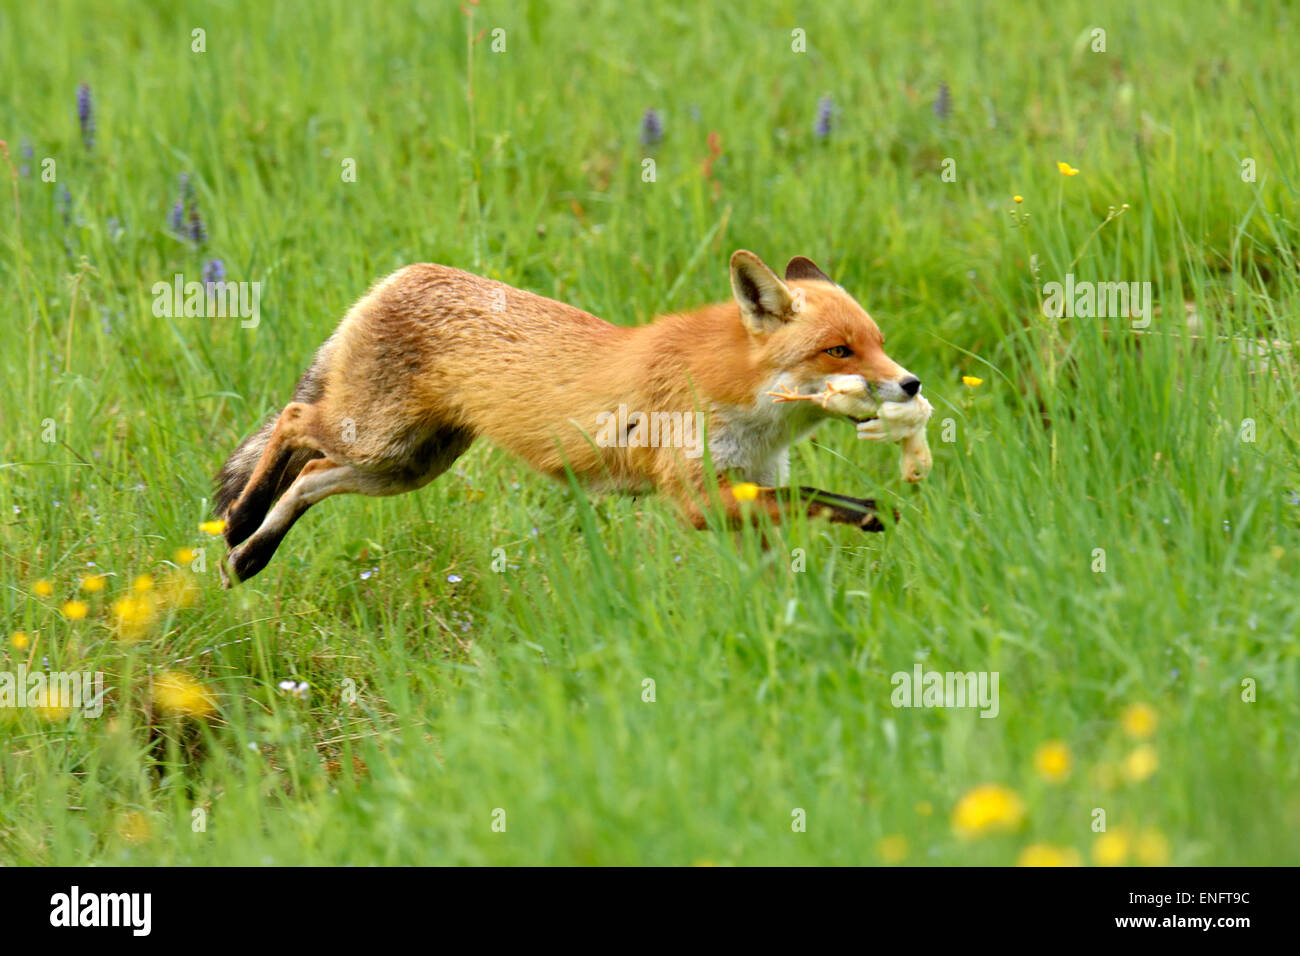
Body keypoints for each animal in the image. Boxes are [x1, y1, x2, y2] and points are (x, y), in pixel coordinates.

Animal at [213, 250, 933, 585]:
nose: (910, 383)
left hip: (406, 465)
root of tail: (399, 275)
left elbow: (792, 522)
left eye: (877, 341)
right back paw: (242, 522)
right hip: (376, 441)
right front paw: (868, 512)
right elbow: (814, 495)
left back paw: (250, 559)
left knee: (309, 476)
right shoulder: (700, 499)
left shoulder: (749, 489)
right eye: (838, 351)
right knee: (294, 420)